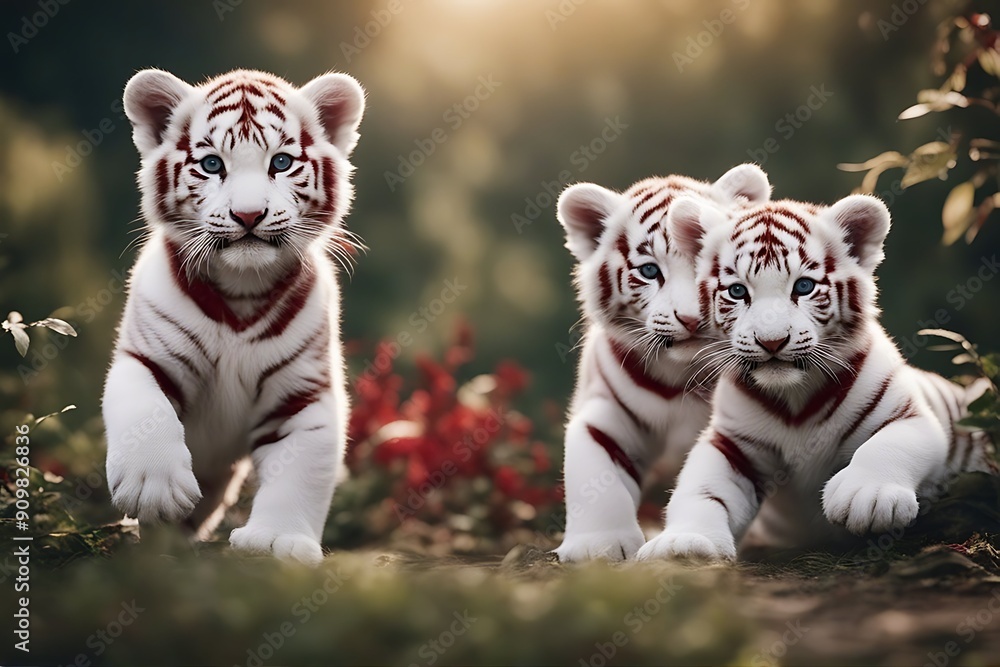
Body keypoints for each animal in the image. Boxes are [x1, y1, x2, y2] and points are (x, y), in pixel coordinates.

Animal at [102, 68, 365, 565]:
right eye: (211, 165)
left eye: (281, 162)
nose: (248, 214)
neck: (243, 288)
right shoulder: (147, 358)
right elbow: (145, 409)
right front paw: (155, 489)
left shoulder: (302, 395)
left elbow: (301, 470)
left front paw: (278, 540)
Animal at [553, 164, 772, 562]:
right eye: (650, 271)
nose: (692, 318)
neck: (679, 374)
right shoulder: (605, 409)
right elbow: (594, 474)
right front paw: (598, 547)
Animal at [636, 193, 997, 561]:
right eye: (737, 291)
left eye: (804, 286)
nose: (771, 341)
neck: (794, 398)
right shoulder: (732, 443)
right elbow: (701, 489)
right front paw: (685, 542)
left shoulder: (907, 414)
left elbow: (889, 444)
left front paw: (867, 496)